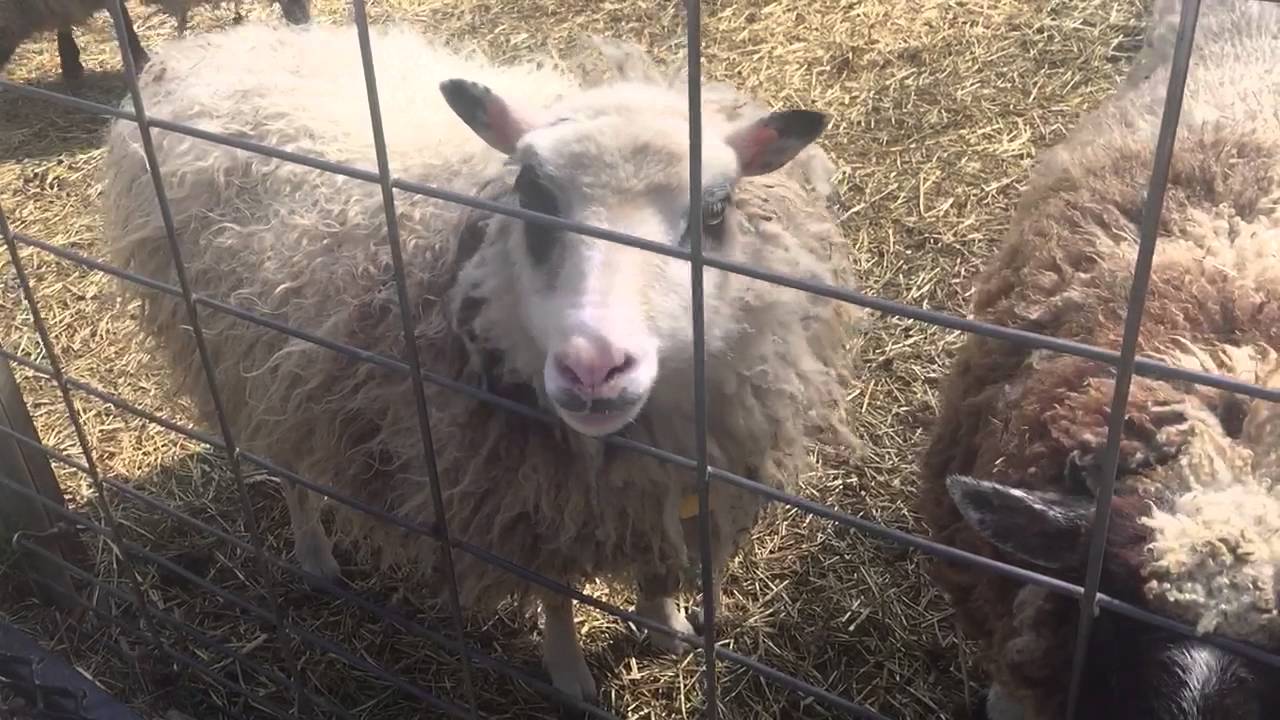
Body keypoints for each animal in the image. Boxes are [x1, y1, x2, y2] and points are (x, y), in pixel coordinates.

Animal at [101, 22, 863, 703]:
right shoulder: (521, 502)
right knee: (290, 468)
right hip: (246, 367)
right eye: (532, 194)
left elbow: (660, 561)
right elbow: (555, 597)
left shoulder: (665, 486)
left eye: (715, 211)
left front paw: (666, 624)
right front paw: (570, 677)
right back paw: (315, 559)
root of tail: (226, 43)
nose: (594, 369)